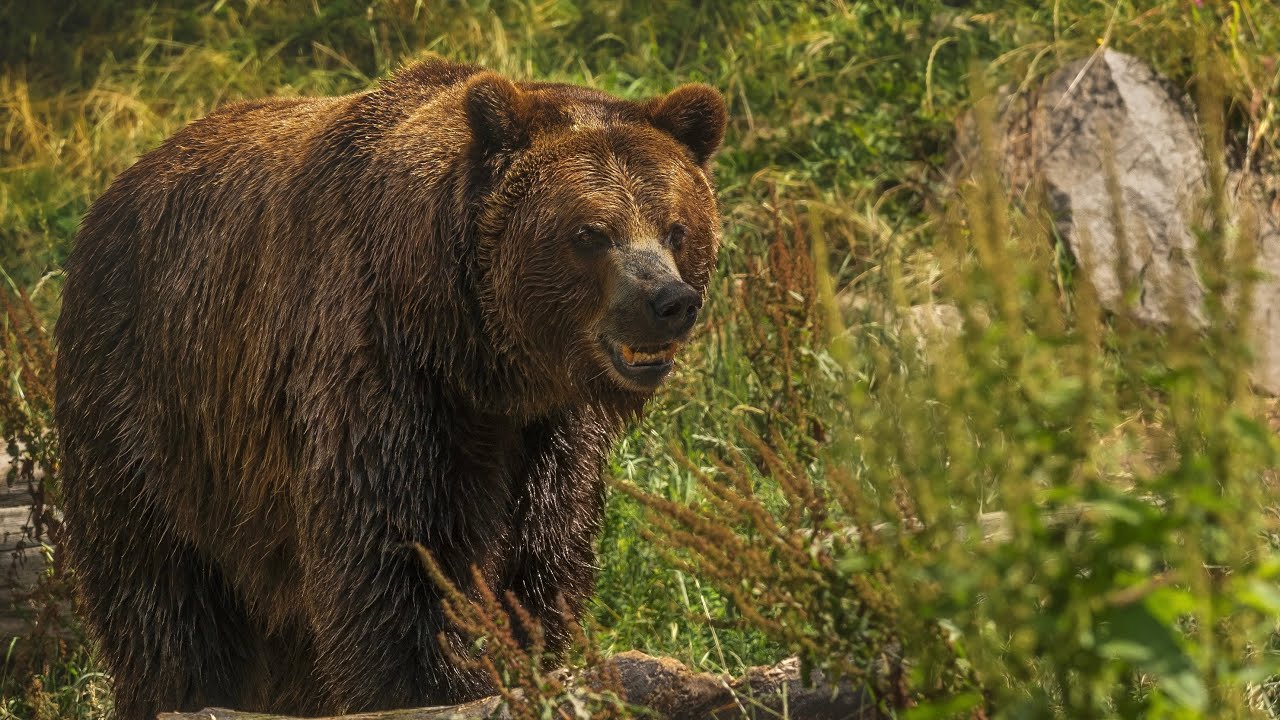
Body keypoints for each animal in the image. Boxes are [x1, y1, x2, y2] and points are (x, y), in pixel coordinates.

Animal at [53, 58, 726, 720]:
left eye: (676, 228)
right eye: (590, 232)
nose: (668, 302)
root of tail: (111, 192)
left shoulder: (549, 431)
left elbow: (543, 557)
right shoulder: (383, 381)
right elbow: (398, 564)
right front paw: (441, 686)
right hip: (151, 413)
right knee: (161, 596)